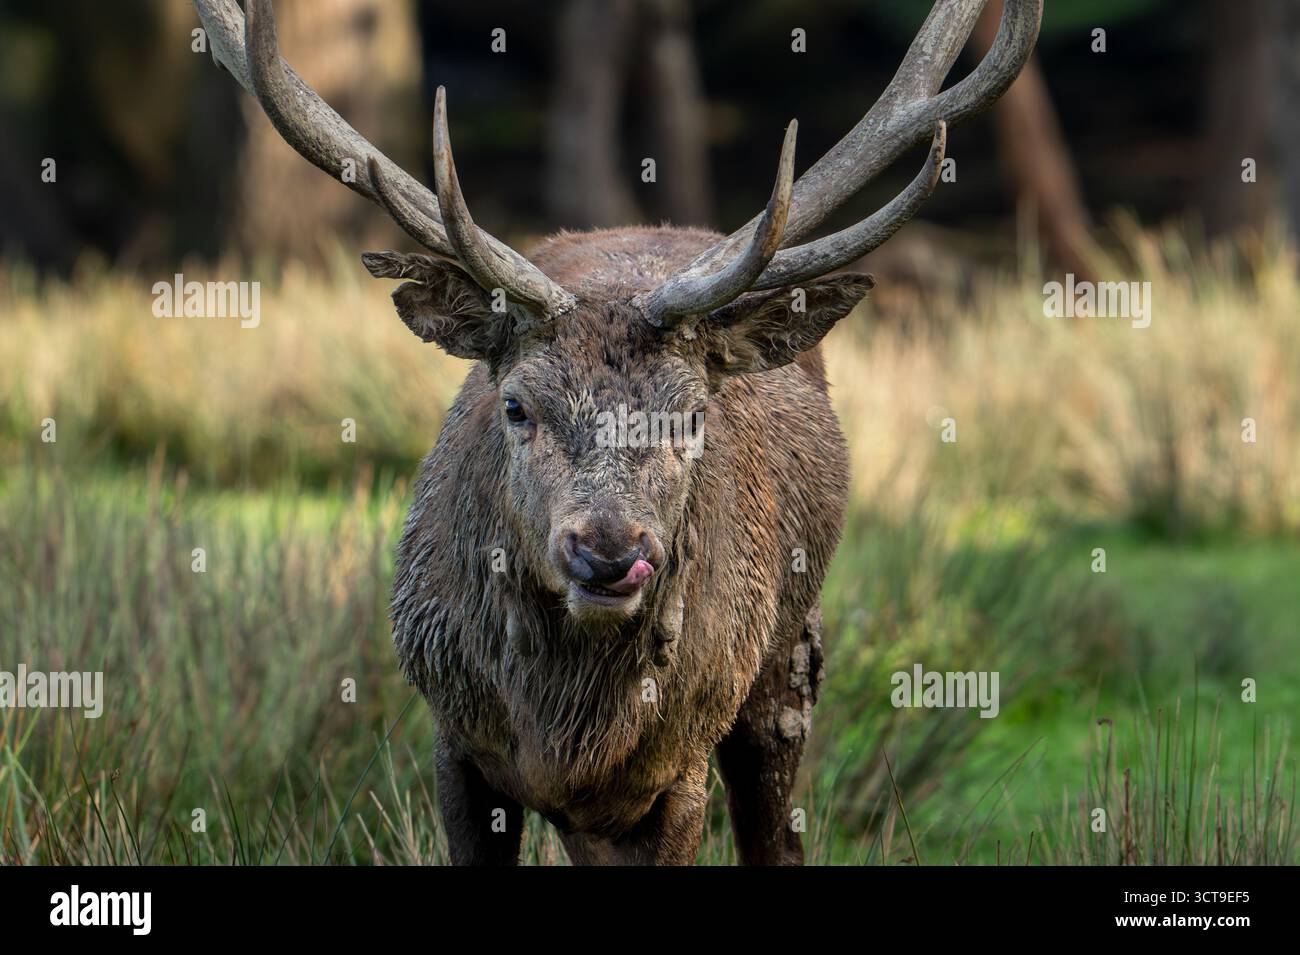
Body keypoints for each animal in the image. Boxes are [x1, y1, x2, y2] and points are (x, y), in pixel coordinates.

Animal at [193, 0, 1040, 865]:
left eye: (692, 414)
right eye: (516, 405)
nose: (608, 550)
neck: (565, 729)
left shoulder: (680, 763)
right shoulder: (453, 735)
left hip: (790, 661)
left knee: (777, 826)